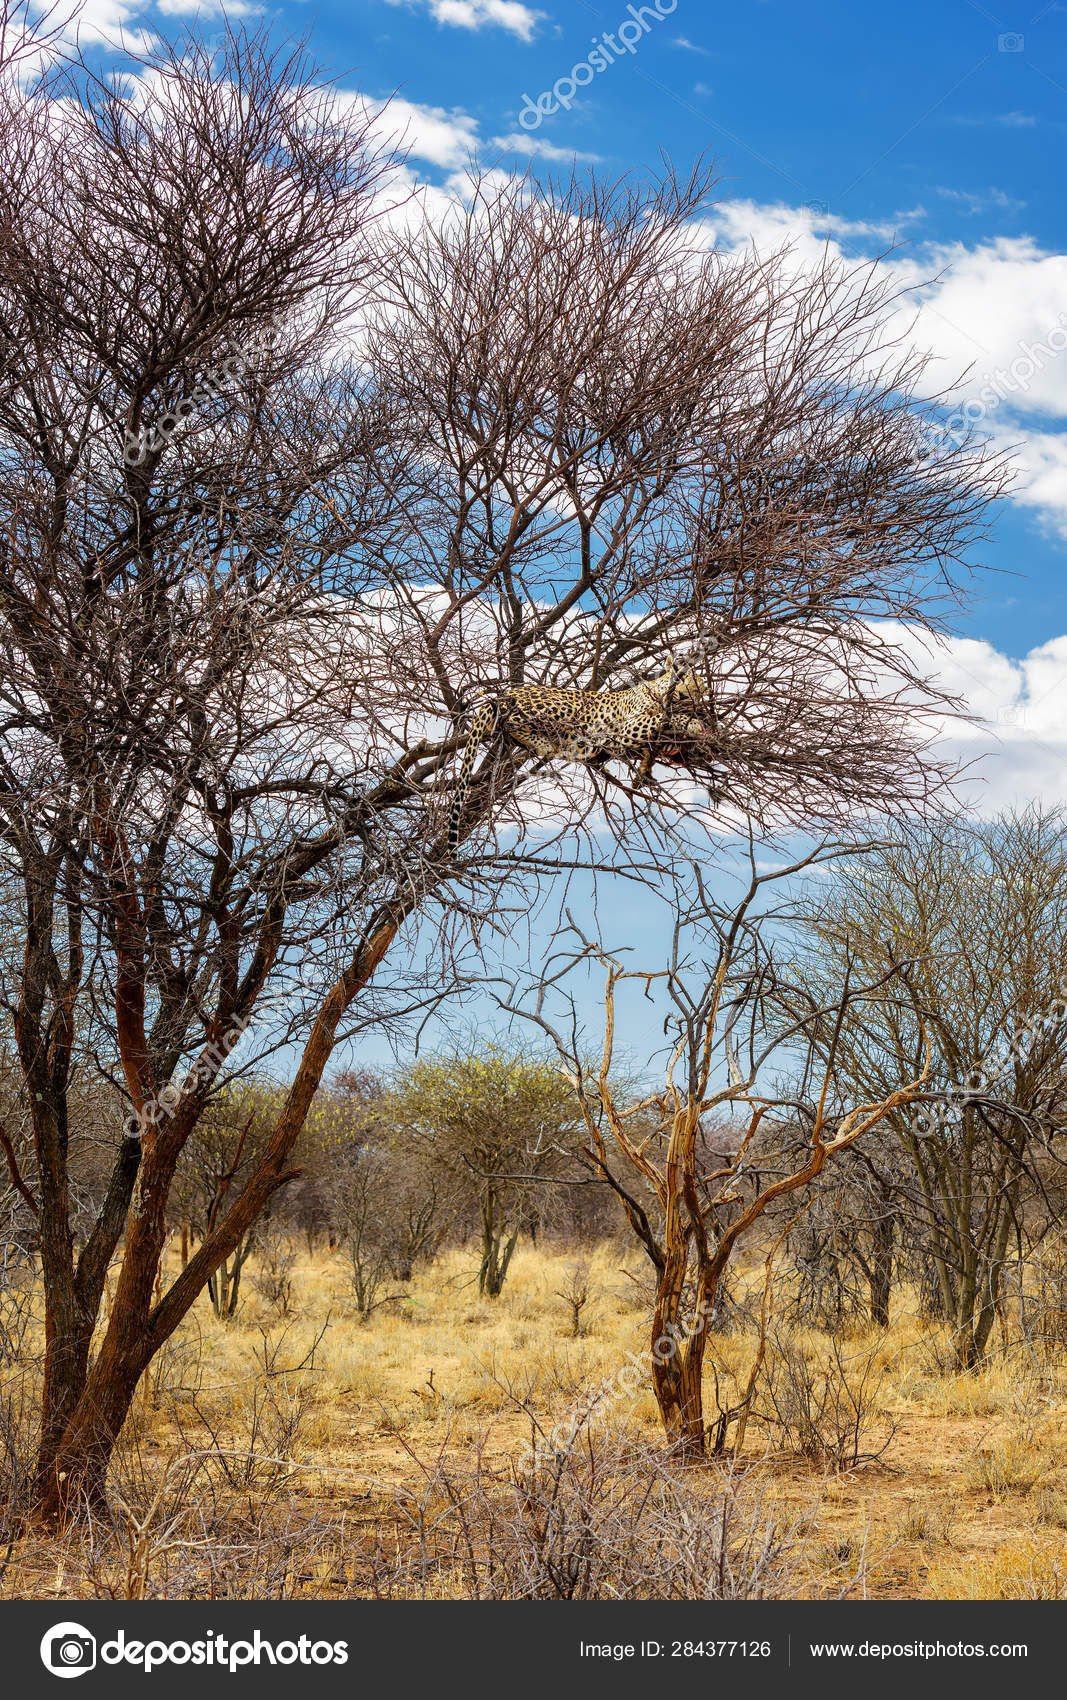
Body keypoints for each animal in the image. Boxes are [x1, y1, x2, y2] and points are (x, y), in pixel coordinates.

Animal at [446, 654, 710, 851]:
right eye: (680, 676)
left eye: (697, 687)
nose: (684, 694)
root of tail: (505, 694)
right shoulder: (627, 728)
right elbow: (667, 718)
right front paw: (695, 725)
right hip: (562, 710)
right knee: (513, 721)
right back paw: (550, 744)